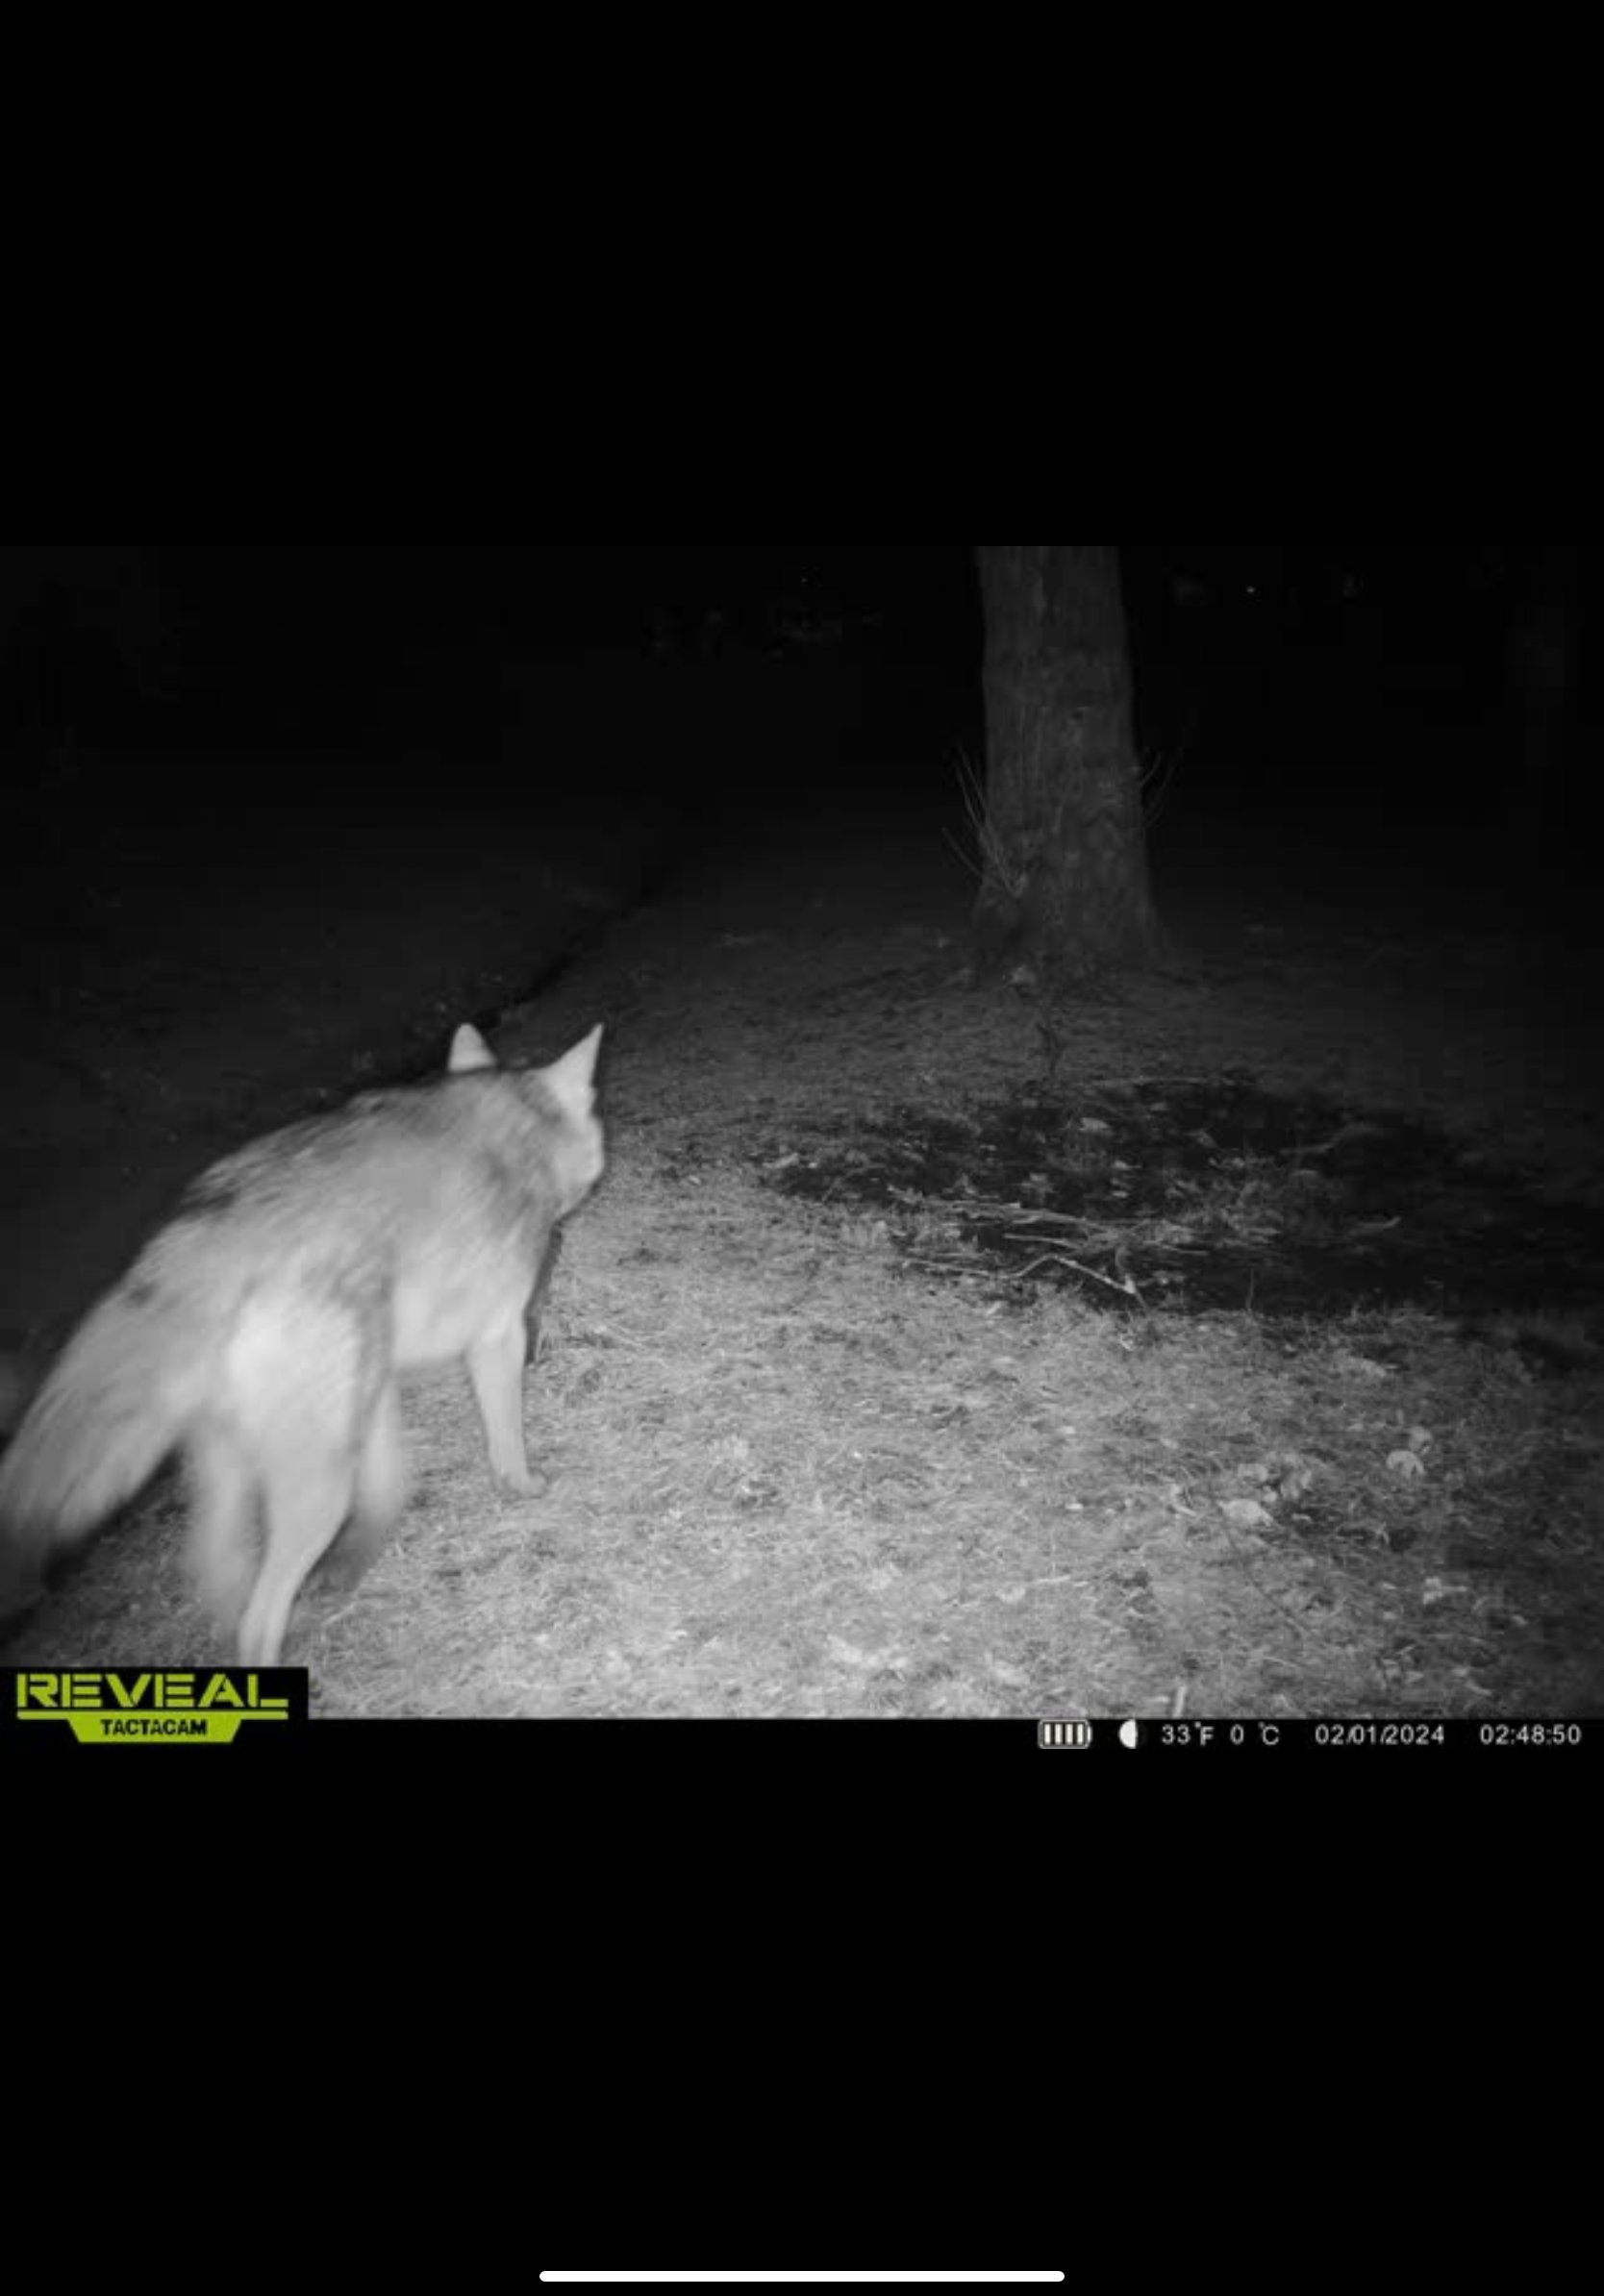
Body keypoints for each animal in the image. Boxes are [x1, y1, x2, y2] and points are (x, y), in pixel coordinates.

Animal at [0, 1020, 604, 1666]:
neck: (514, 1122)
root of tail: (200, 1247)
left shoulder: (377, 1387)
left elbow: (389, 1481)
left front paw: (364, 1549)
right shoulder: (498, 1338)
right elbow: (506, 1439)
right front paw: (523, 1487)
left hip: (239, 1467)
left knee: (219, 1582)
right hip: (316, 1488)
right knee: (258, 1617)